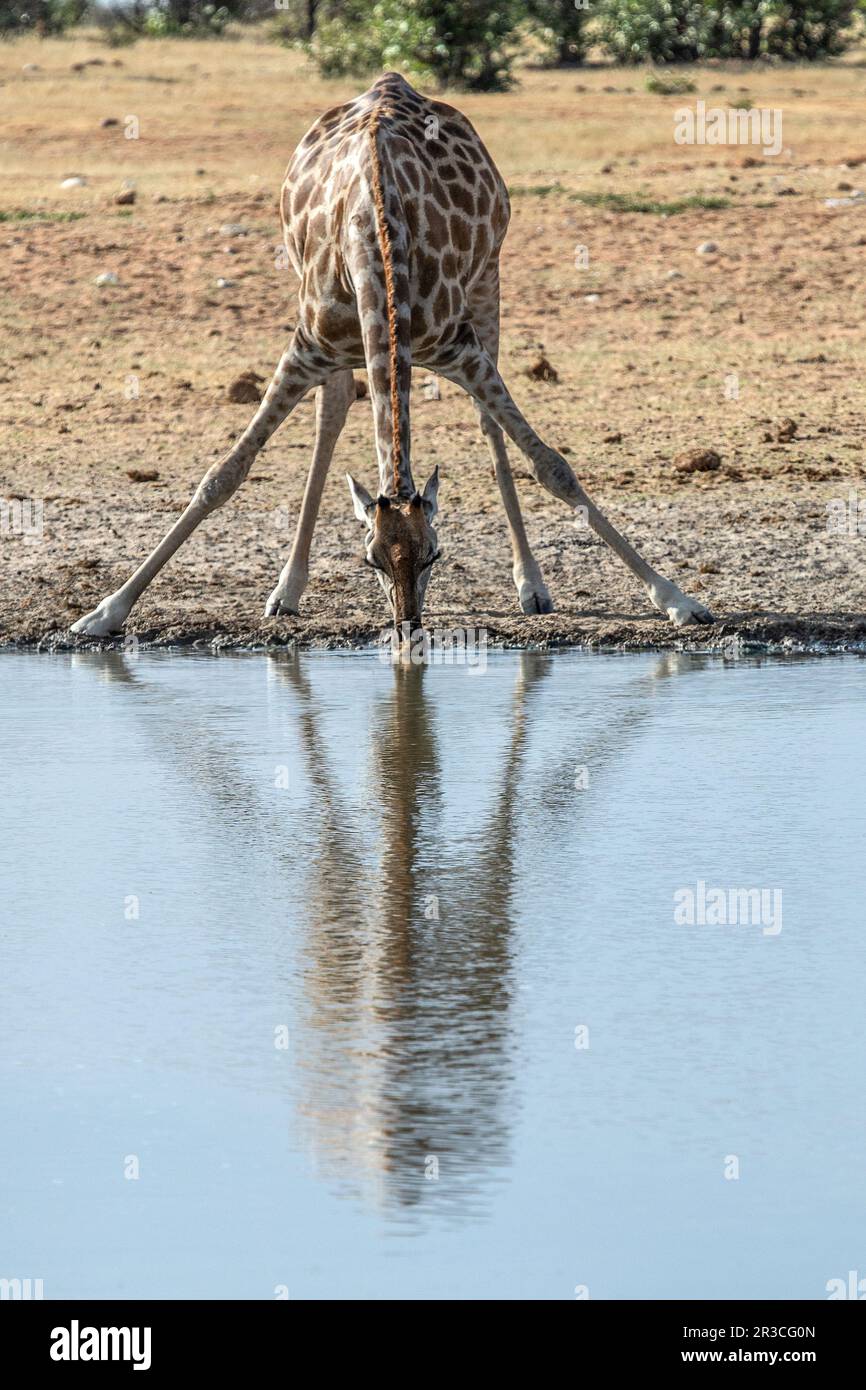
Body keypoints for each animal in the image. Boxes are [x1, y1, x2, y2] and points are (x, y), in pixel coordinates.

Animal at [71, 72, 713, 638]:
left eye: (436, 554)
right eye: (371, 559)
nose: (407, 626)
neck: (377, 240)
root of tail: (392, 80)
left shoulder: (460, 348)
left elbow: (553, 465)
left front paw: (678, 600)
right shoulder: (307, 347)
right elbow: (222, 475)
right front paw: (104, 613)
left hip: (489, 282)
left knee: (487, 425)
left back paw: (530, 586)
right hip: (330, 327)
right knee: (333, 411)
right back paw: (286, 590)